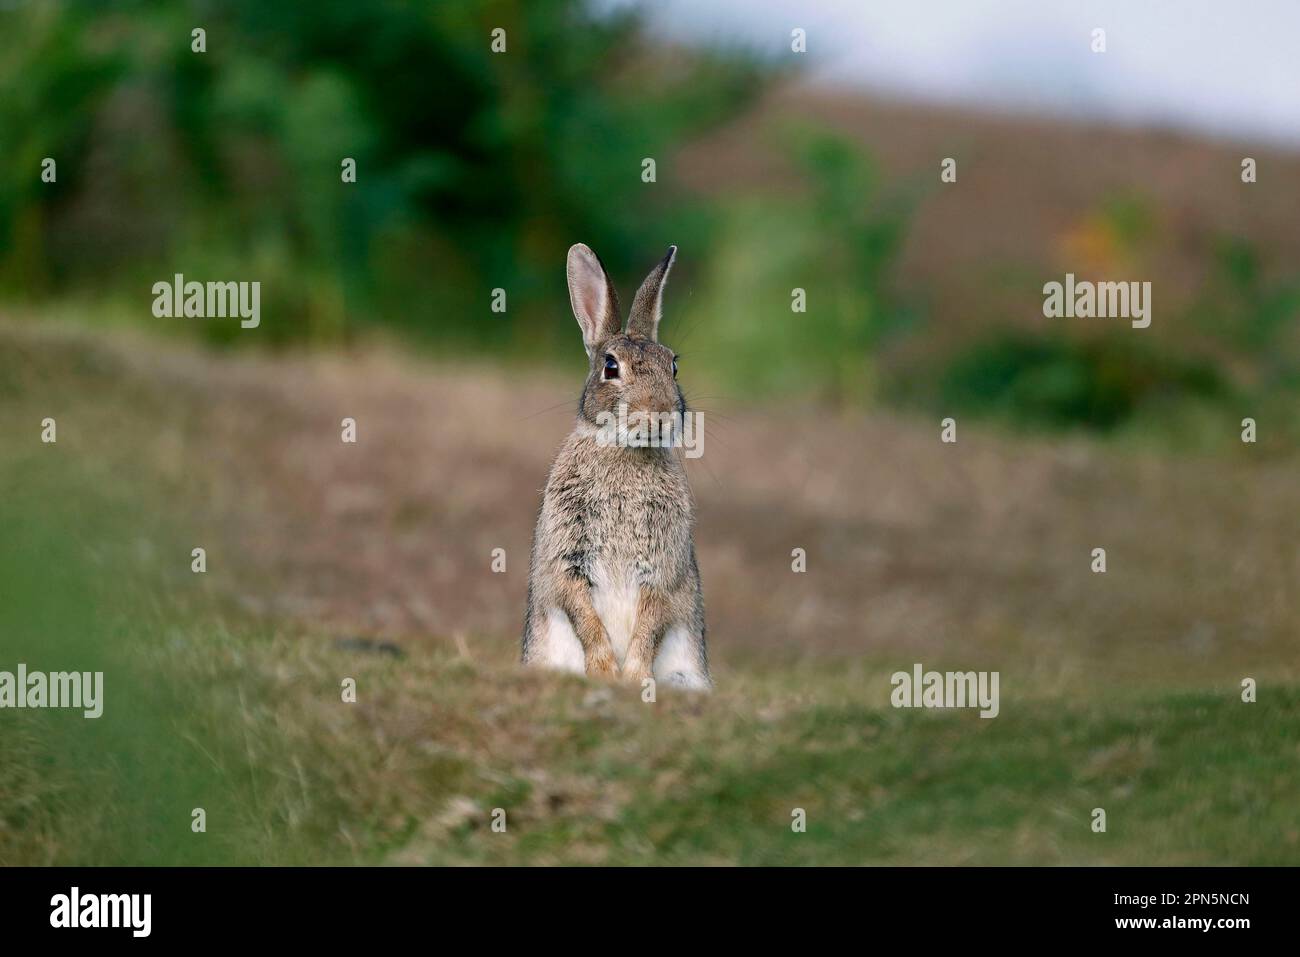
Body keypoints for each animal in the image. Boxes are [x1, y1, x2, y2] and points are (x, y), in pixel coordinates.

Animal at [520, 243, 711, 691]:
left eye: (673, 365)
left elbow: (652, 620)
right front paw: (607, 671)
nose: (661, 412)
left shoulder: (664, 568)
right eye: (611, 367)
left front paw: (635, 676)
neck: (624, 450)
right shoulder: (567, 558)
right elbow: (582, 612)